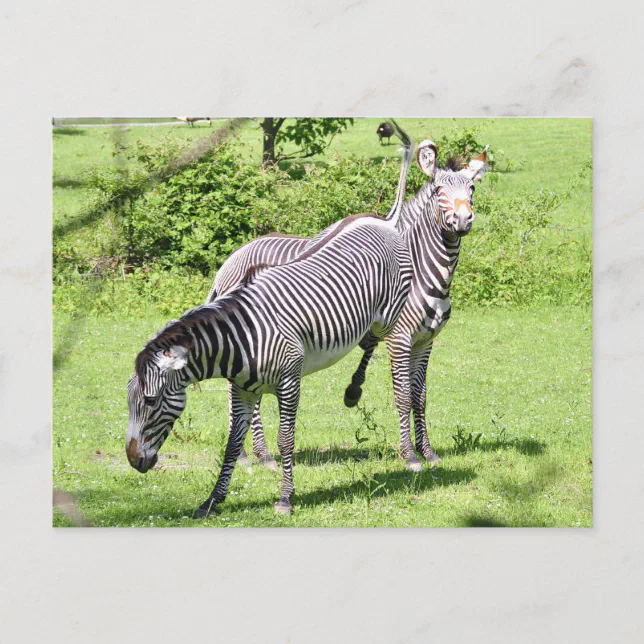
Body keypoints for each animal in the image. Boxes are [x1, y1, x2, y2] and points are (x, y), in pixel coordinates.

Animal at [209, 138, 488, 471]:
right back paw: (257, 455)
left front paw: (429, 452)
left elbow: (419, 397)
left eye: (472, 188)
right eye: (437, 190)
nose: (463, 220)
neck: (423, 267)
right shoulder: (399, 338)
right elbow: (403, 396)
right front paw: (409, 455)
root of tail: (232, 259)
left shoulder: (425, 341)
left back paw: (250, 453)